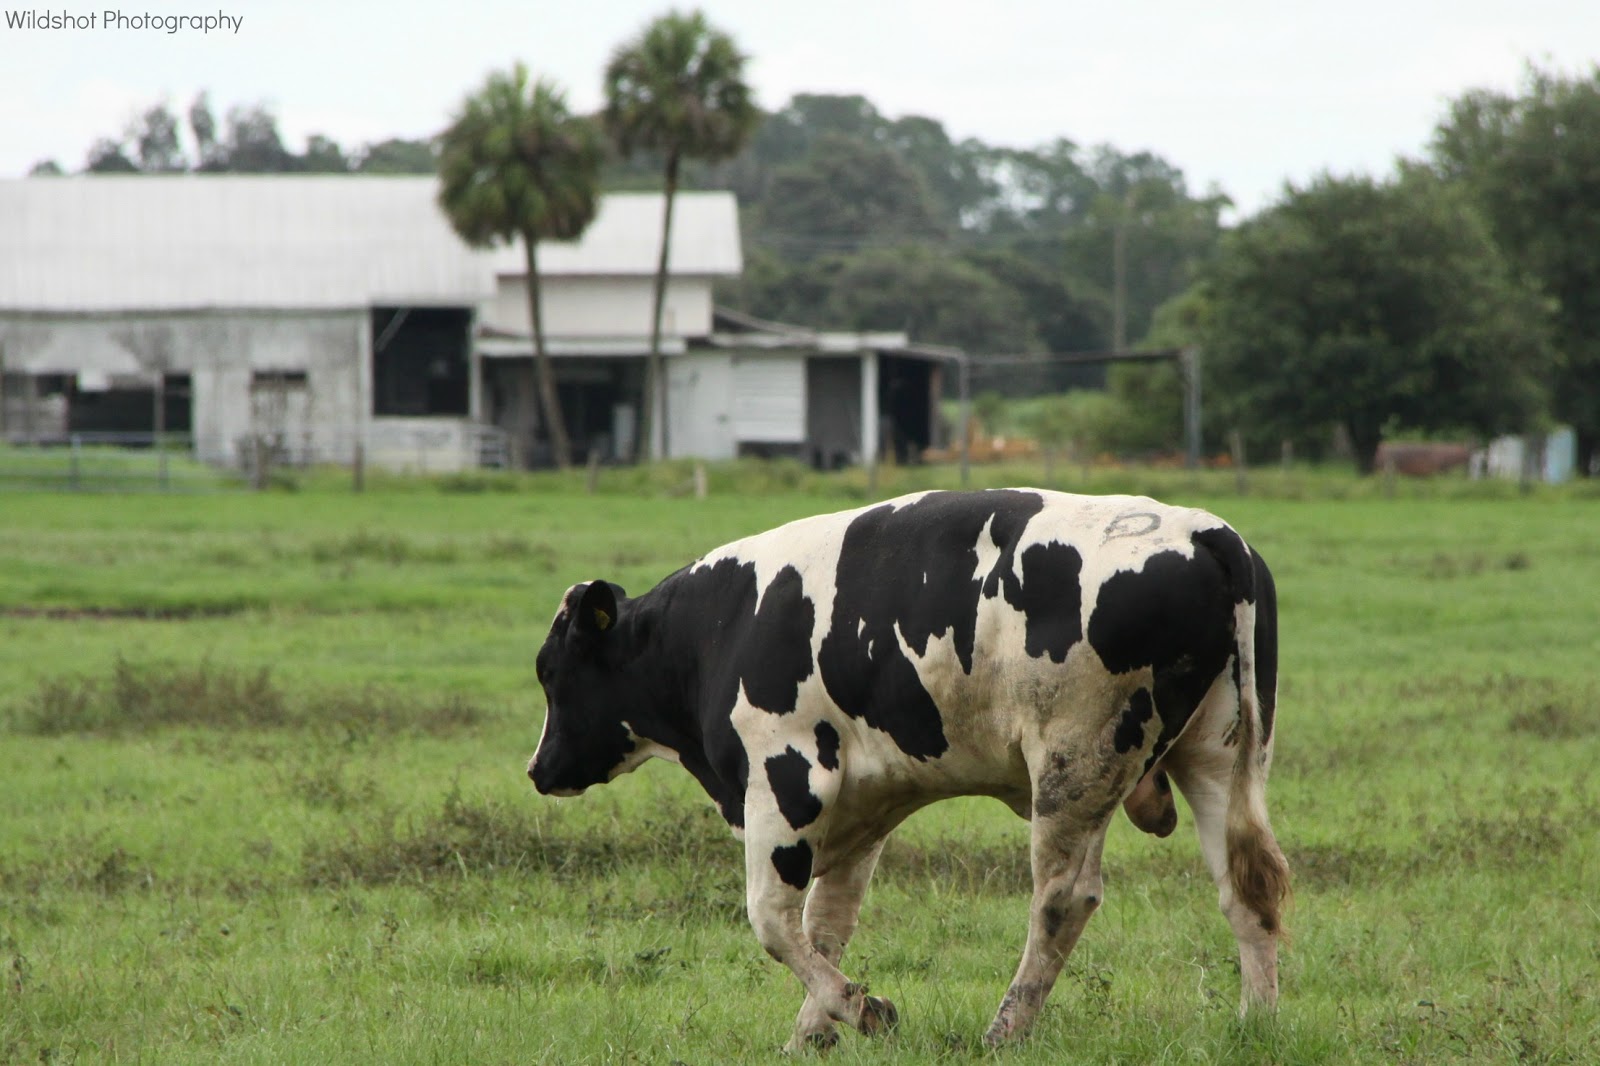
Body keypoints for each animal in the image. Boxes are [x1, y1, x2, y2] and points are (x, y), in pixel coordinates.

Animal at [528, 488, 1289, 1049]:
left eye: (551, 671)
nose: (538, 769)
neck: (721, 630)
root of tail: (1205, 531)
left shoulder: (785, 776)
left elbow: (772, 920)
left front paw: (865, 1010)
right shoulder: (860, 804)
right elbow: (826, 923)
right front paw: (814, 1034)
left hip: (1076, 762)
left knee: (1062, 900)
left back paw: (1005, 1029)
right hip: (1220, 753)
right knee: (1247, 885)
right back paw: (1255, 1023)